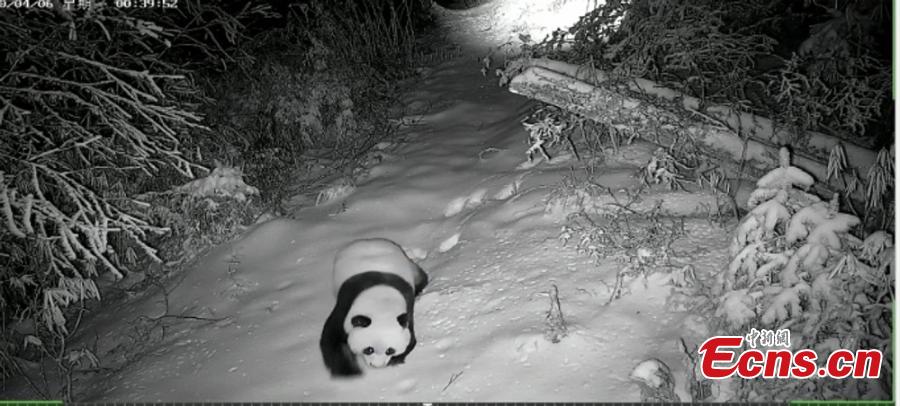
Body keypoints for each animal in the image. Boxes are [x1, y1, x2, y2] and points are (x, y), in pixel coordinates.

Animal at [319, 238, 428, 377]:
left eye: (390, 350)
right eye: (369, 349)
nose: (377, 366)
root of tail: (370, 241)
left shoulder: (407, 309)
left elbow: (410, 339)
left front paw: (395, 361)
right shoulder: (345, 307)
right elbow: (331, 340)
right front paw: (348, 371)